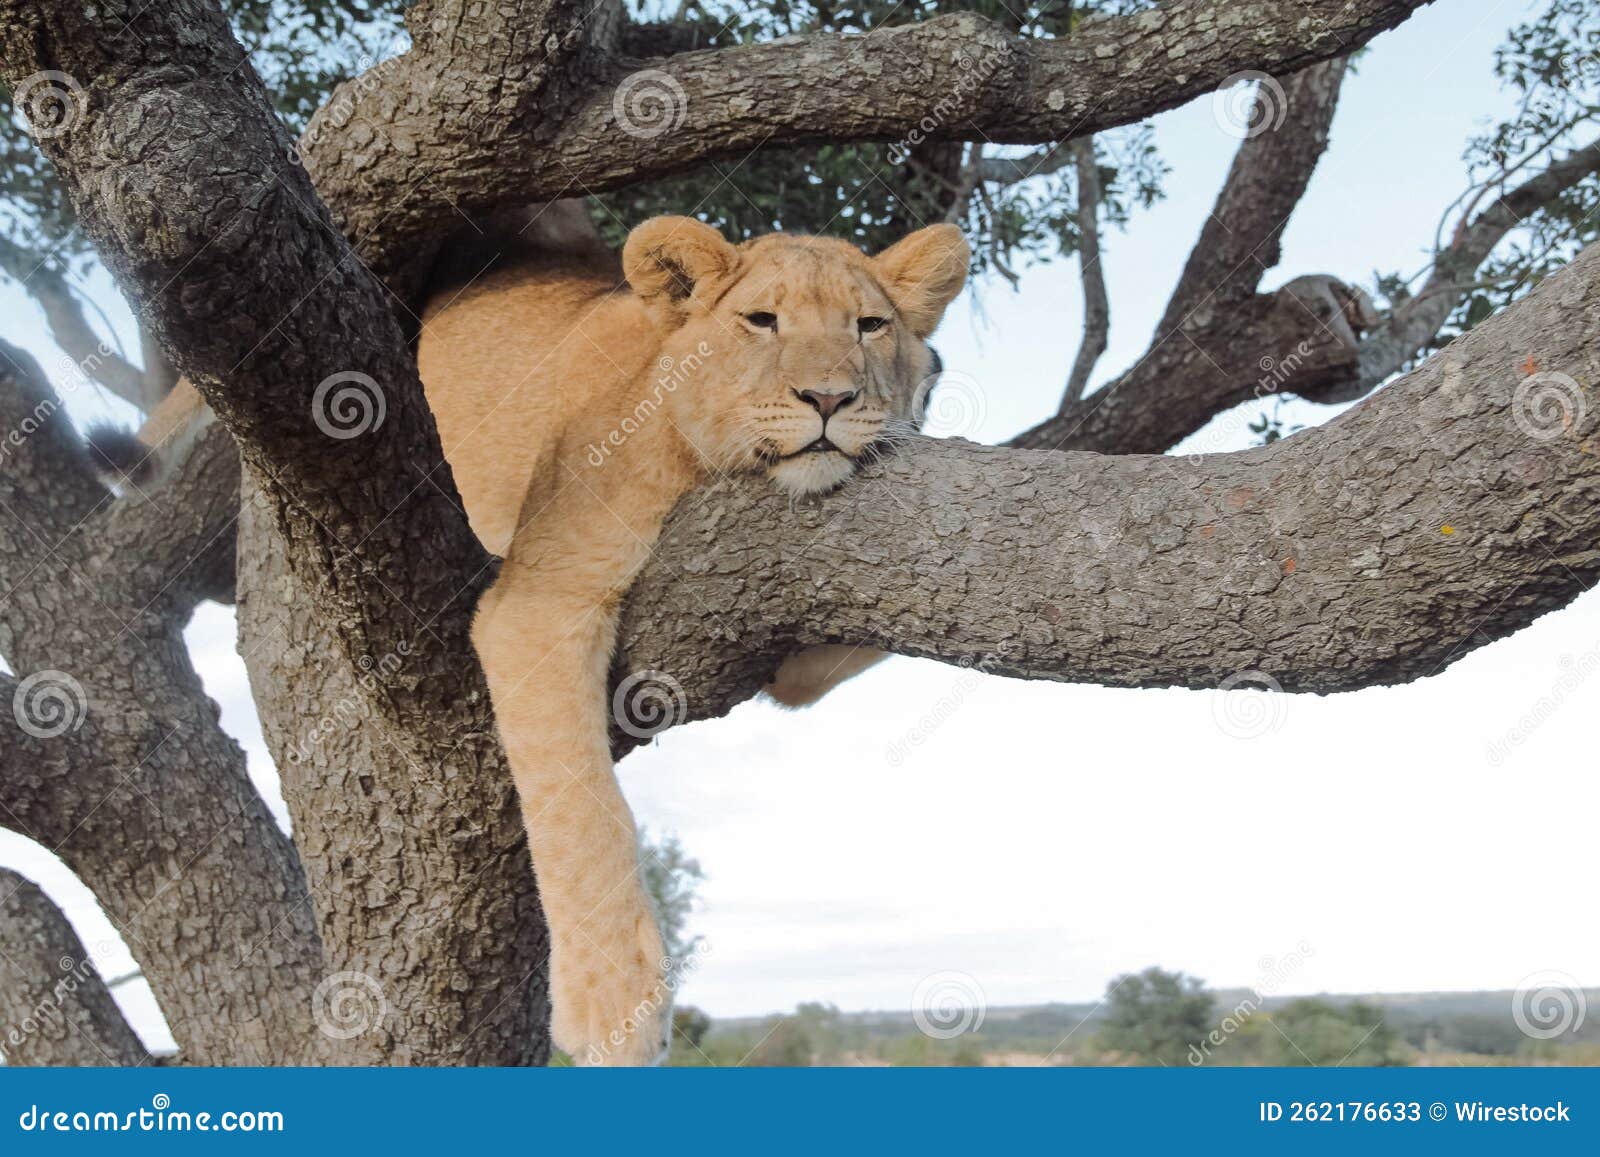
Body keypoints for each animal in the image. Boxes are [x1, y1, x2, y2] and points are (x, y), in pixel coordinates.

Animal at [110, 210, 969, 1065]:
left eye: (869, 326)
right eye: (762, 320)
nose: (830, 397)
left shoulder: (797, 661)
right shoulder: (540, 595)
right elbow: (580, 805)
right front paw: (613, 1001)